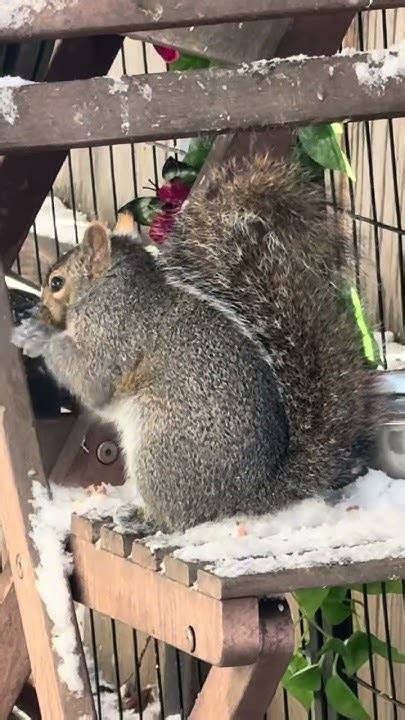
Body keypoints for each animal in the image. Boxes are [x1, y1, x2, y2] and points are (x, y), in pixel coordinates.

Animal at [12, 156, 376, 532]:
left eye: (56, 283)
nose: (39, 309)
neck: (108, 289)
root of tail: (250, 495)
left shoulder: (114, 332)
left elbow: (92, 378)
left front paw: (36, 335)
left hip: (159, 450)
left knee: (179, 517)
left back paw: (141, 518)